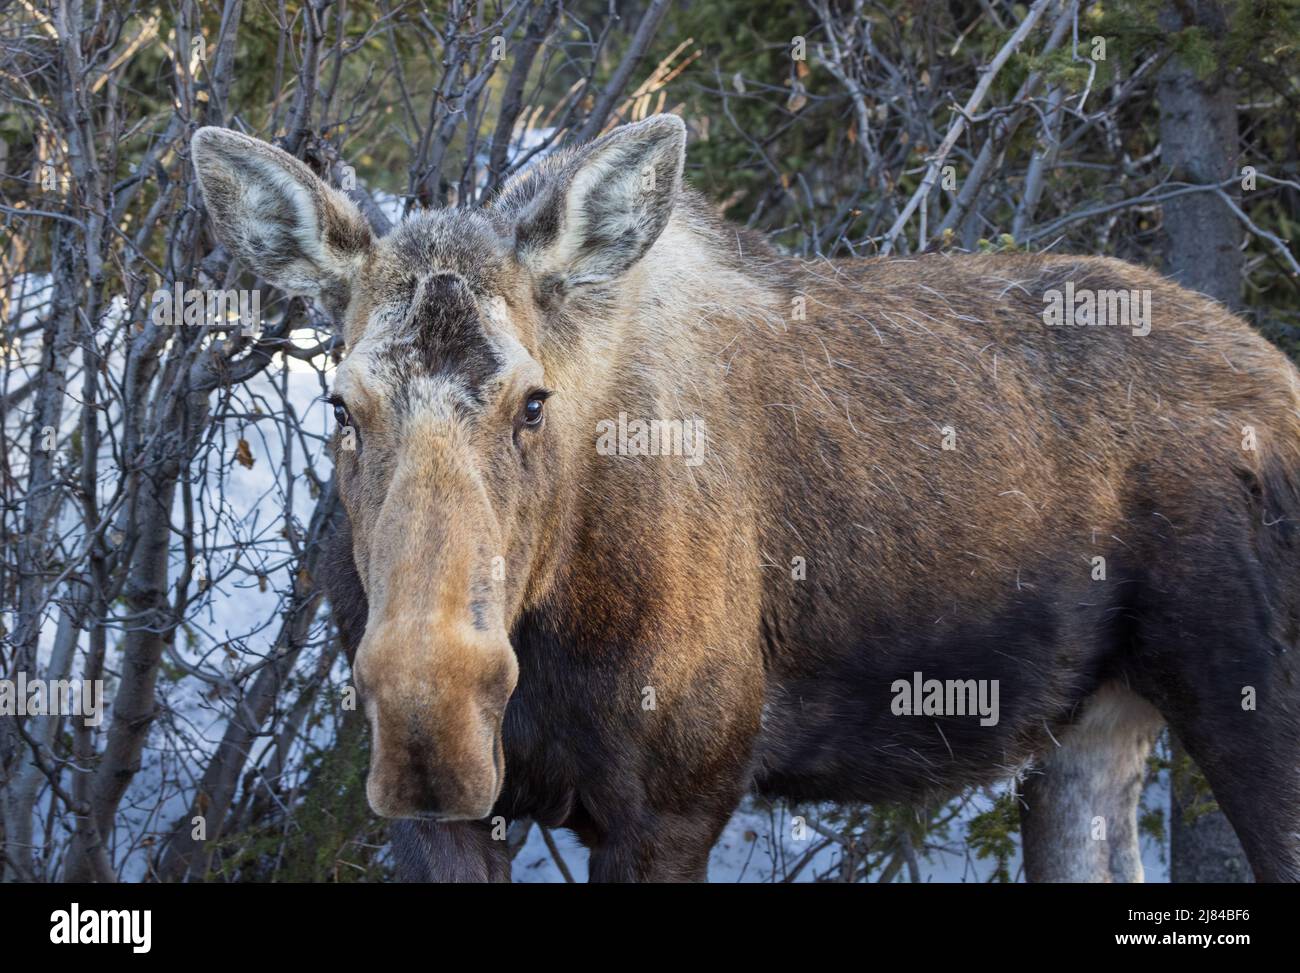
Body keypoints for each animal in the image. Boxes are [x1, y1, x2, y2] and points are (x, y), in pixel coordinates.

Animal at [191, 114, 1300, 882]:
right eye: (342, 401)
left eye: (532, 401)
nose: (433, 712)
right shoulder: (452, 823)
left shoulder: (680, 794)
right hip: (1092, 724)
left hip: (1248, 689)